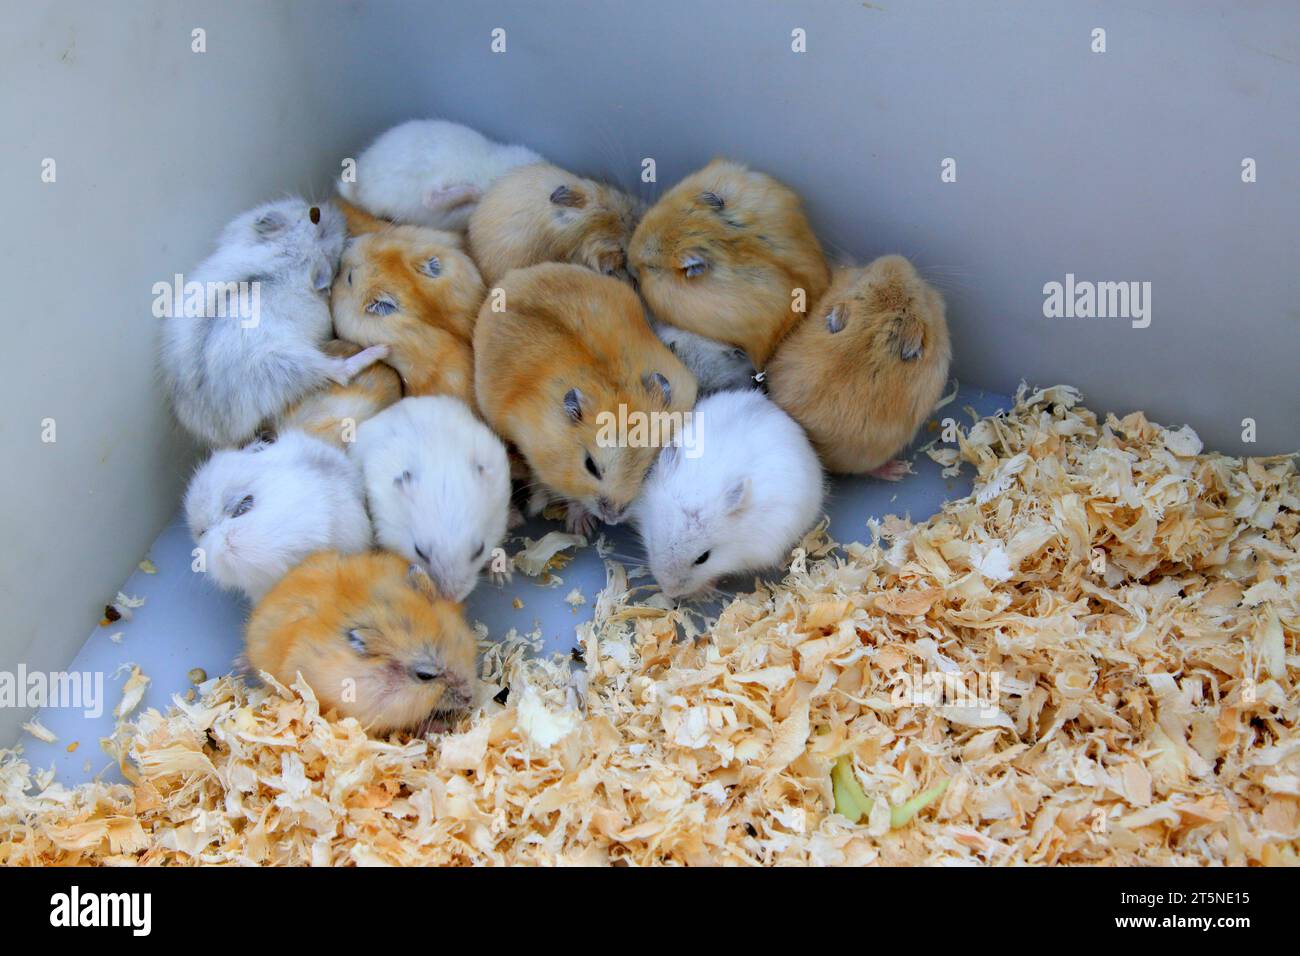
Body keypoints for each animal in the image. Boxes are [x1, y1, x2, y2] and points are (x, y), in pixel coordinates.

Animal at [159, 197, 388, 447]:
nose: (338, 211)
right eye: (315, 215)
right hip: (287, 363)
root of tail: (220, 430)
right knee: (340, 371)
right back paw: (380, 350)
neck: (289, 254)